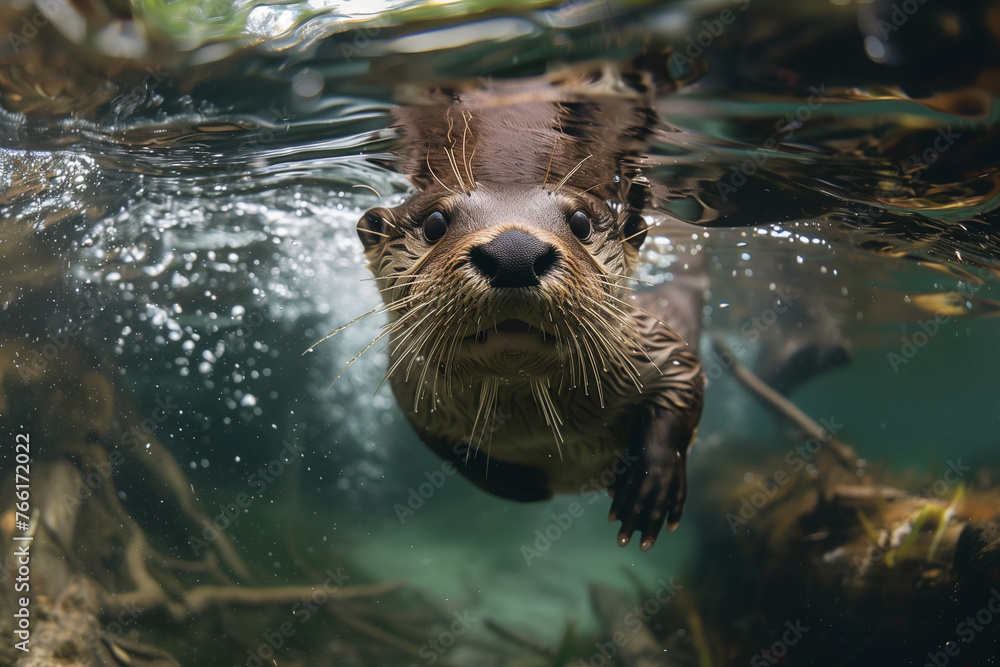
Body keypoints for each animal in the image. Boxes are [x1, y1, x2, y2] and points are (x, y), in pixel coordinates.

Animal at [355, 66, 704, 550]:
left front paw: (652, 485)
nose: (514, 253)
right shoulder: (409, 394)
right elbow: (453, 454)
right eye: (434, 223)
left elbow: (684, 381)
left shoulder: (655, 344)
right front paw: (522, 485)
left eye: (580, 222)